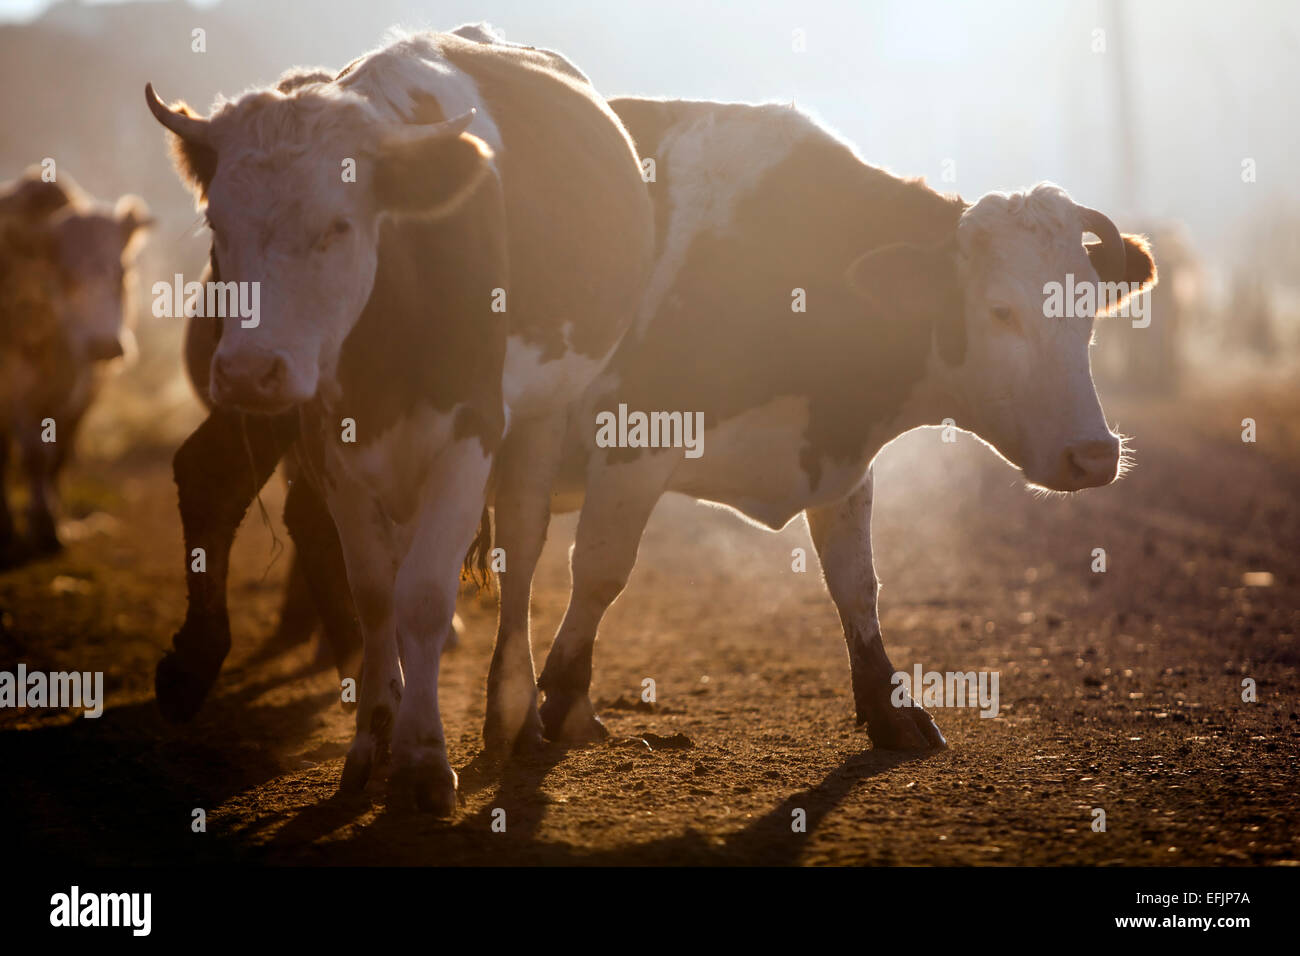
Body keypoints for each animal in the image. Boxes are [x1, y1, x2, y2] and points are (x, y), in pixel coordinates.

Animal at [0, 170, 151, 564]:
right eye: (65, 276)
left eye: (122, 272)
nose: (105, 345)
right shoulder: (15, 384)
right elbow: (33, 454)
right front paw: (38, 524)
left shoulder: (87, 386)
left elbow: (60, 451)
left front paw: (55, 524)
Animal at [146, 28, 654, 812]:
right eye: (216, 224)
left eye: (338, 224)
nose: (248, 371)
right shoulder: (327, 439)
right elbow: (376, 589)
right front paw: (374, 738)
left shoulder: (473, 430)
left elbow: (422, 594)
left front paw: (421, 756)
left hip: (540, 416)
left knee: (523, 547)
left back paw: (514, 712)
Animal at [529, 98, 1157, 752]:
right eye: (1000, 311)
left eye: (1089, 307)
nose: (1094, 455)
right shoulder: (634, 439)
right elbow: (600, 569)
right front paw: (568, 700)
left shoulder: (845, 459)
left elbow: (855, 581)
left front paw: (890, 706)